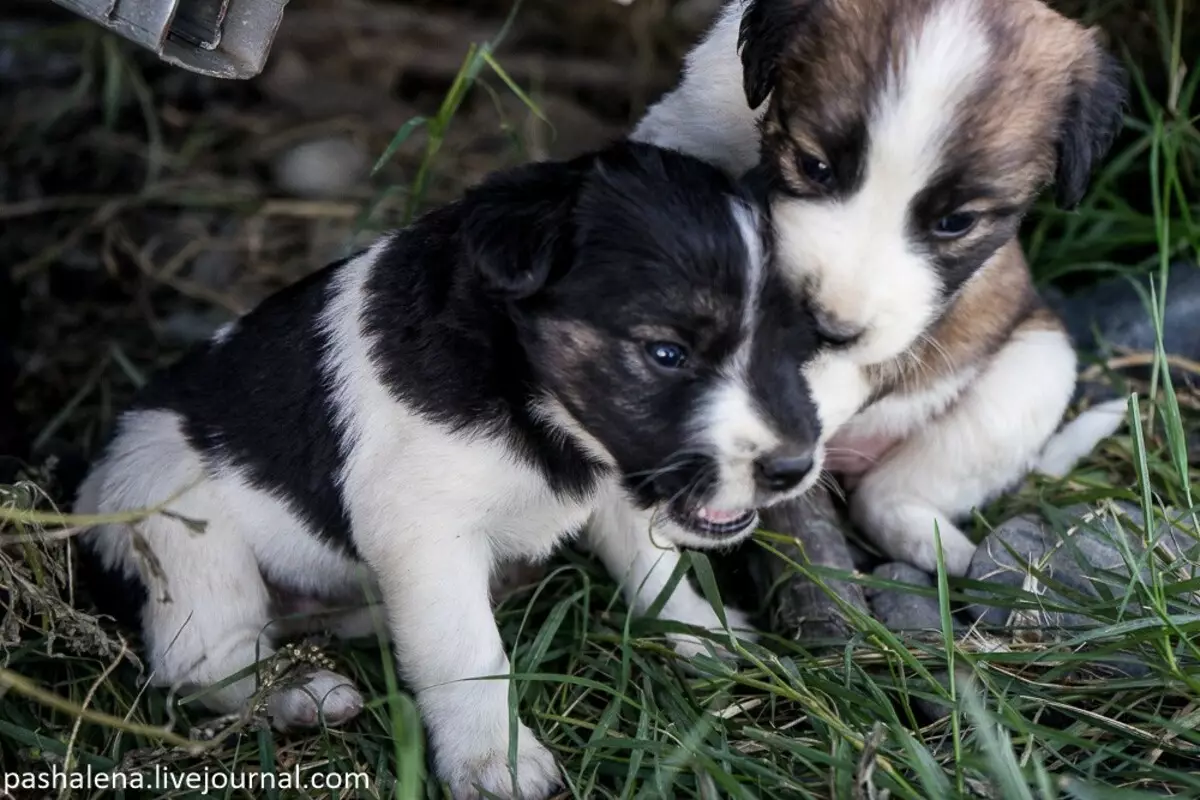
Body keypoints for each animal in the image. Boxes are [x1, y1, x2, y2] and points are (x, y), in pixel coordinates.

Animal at [77, 142, 825, 800]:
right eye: (666, 353)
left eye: (795, 342)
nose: (794, 468)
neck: (527, 393)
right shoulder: (427, 535)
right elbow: (466, 652)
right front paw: (496, 759)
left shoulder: (622, 482)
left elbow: (656, 571)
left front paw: (708, 636)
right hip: (176, 520)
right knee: (202, 661)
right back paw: (297, 694)